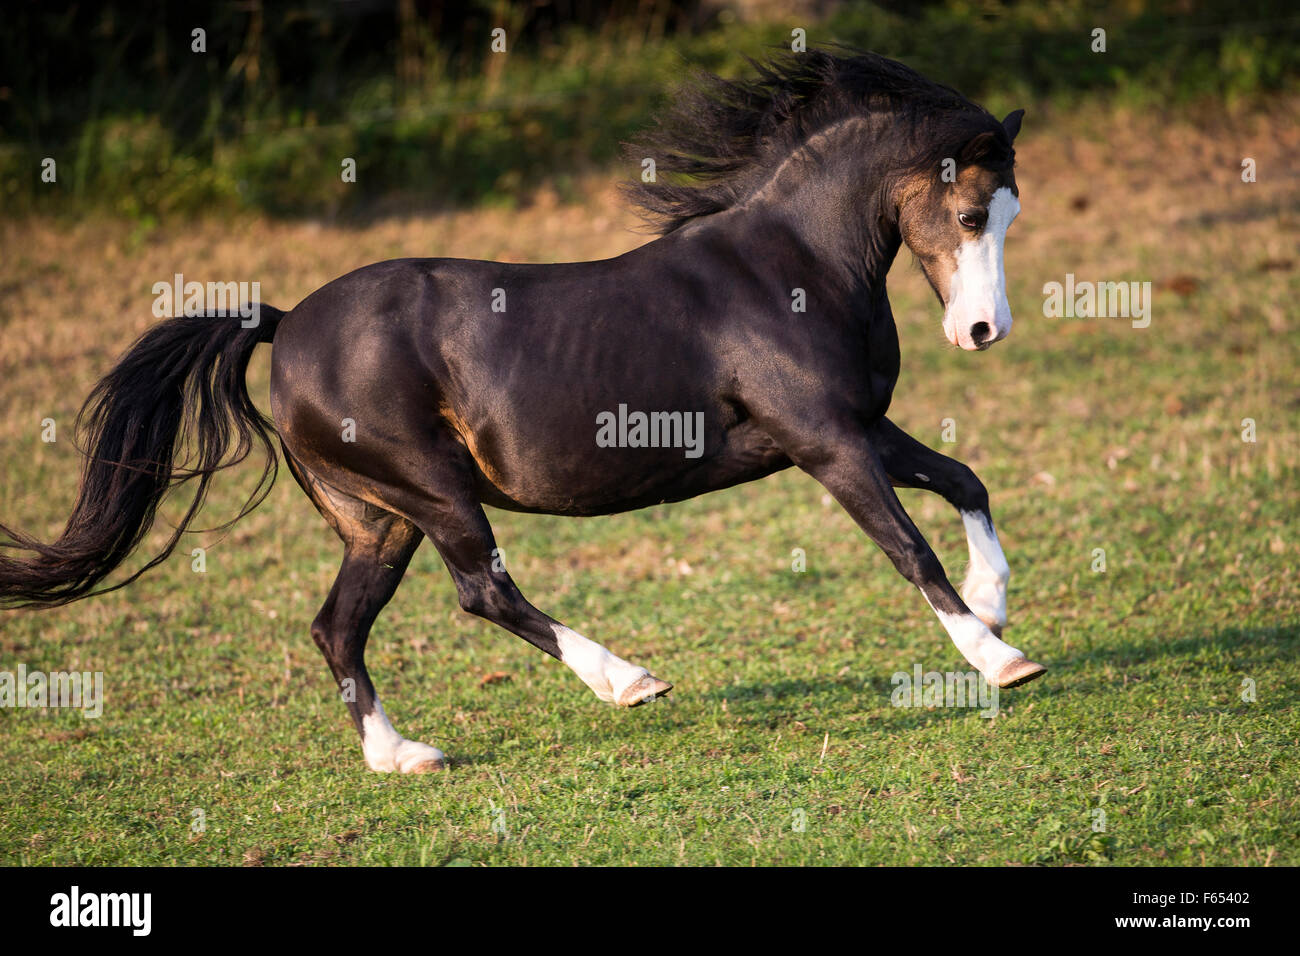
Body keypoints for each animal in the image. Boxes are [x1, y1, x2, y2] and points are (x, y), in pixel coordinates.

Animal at [0, 49, 1044, 773]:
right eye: (966, 215)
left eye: (1012, 215)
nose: (983, 330)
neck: (785, 269)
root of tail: (287, 324)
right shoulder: (824, 441)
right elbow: (906, 545)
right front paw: (1000, 661)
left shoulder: (858, 427)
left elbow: (965, 479)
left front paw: (994, 607)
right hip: (434, 490)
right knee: (481, 592)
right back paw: (628, 680)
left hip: (379, 518)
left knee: (339, 626)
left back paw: (402, 758)